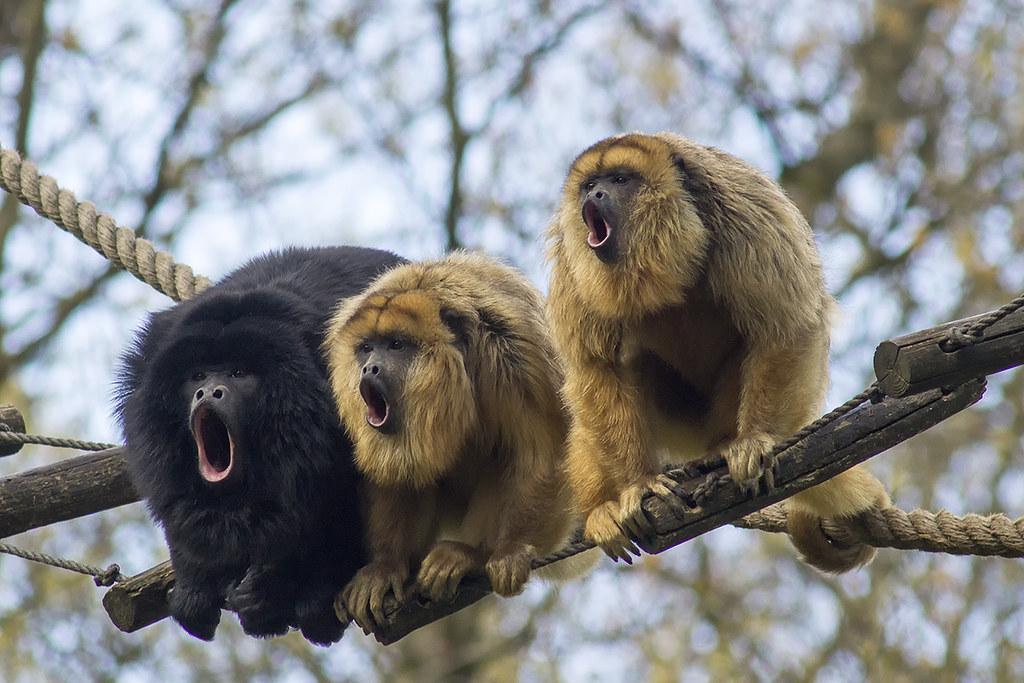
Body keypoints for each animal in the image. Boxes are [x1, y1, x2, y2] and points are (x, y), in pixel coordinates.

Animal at [115, 246, 405, 644]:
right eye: (197, 376)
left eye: (239, 373)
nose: (209, 392)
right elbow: (175, 507)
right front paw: (194, 586)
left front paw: (275, 591)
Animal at [324, 251, 576, 633]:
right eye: (366, 348)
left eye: (396, 345)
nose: (369, 368)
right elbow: (392, 477)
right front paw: (385, 567)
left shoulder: (515, 352)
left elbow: (539, 454)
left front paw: (508, 550)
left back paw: (468, 554)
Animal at [545, 132, 892, 573]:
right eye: (590, 184)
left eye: (621, 179)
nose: (596, 194)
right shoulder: (571, 259)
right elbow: (596, 368)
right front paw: (638, 484)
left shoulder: (744, 211)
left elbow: (783, 325)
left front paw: (753, 441)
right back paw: (601, 510)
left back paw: (726, 447)